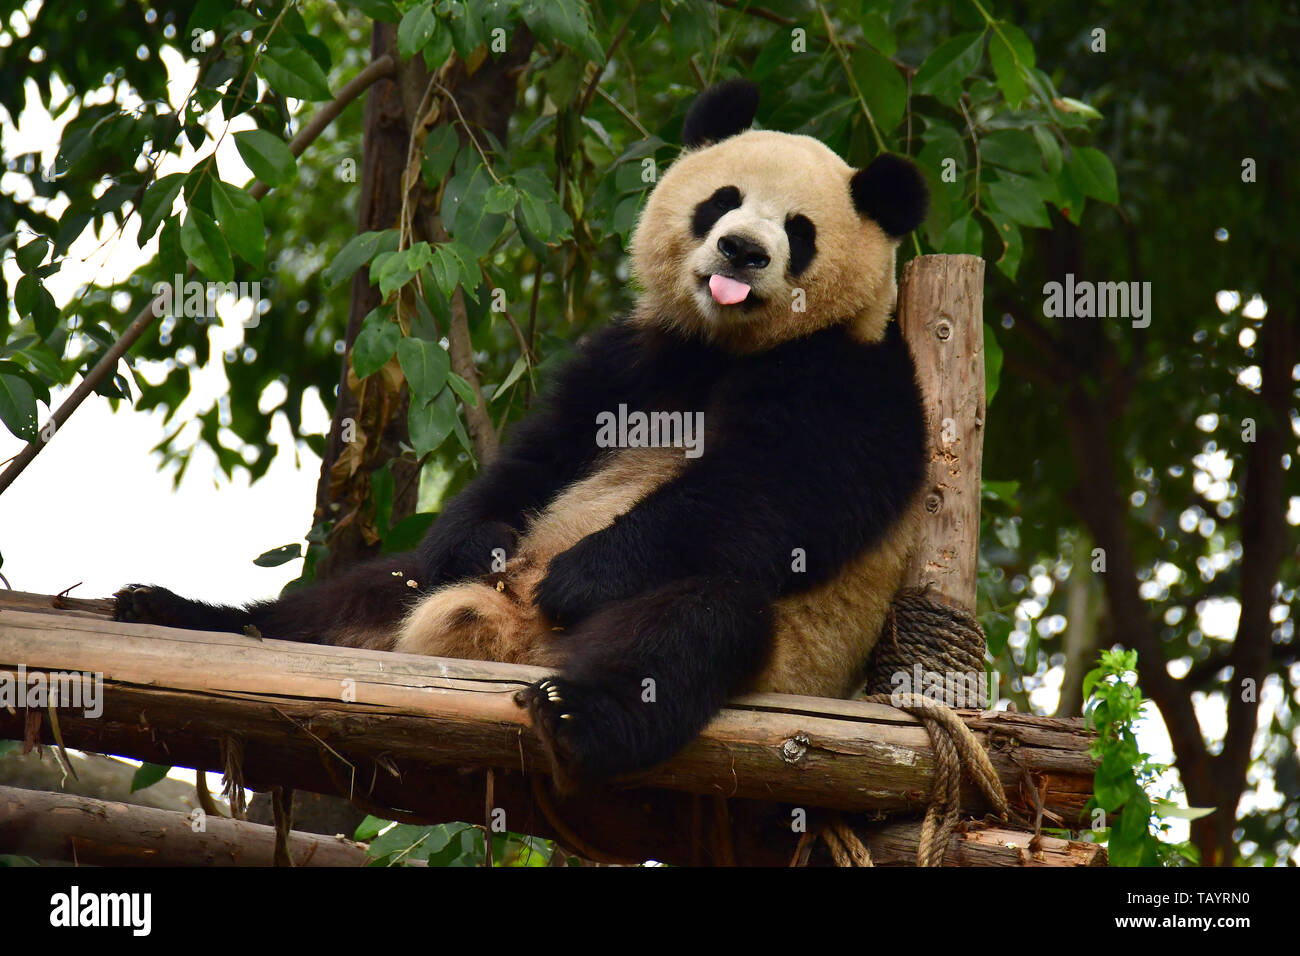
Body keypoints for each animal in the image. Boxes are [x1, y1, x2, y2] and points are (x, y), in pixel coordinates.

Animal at [115, 79, 930, 788]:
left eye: (798, 230)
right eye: (721, 202)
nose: (743, 252)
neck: (726, 344)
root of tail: (511, 642)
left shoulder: (852, 382)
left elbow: (774, 489)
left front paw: (583, 574)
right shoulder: (636, 357)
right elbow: (541, 457)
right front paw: (485, 537)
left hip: (777, 647)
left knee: (696, 623)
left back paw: (576, 716)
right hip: (413, 595)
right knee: (361, 593)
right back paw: (190, 616)